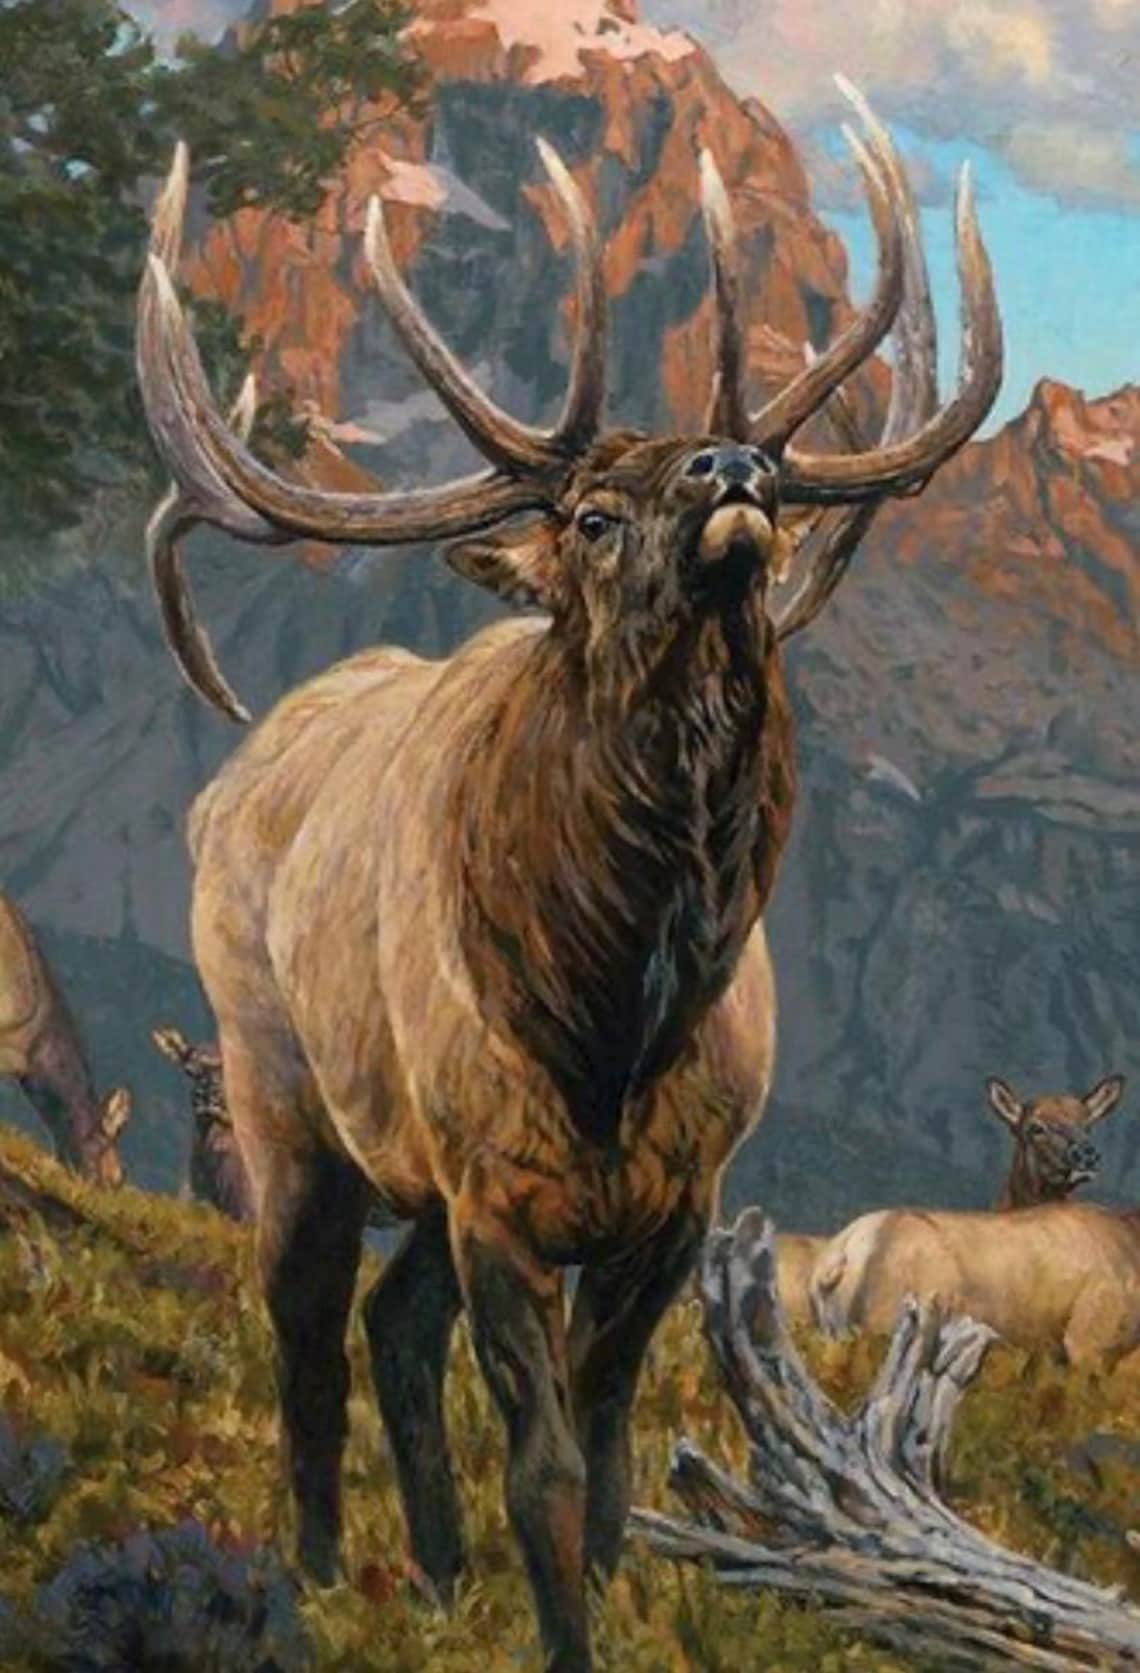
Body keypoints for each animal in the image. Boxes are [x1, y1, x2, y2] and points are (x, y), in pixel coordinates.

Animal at [134, 74, 1001, 1671]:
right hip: (284, 1091)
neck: (613, 1019)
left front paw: (589, 1585)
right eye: (593, 512)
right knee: (302, 1321)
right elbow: (537, 1462)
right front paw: (559, 1628)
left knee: (389, 1324)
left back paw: (432, 1568)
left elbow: (603, 1453)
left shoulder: (674, 1201)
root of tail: (227, 779)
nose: (738, 466)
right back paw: (315, 1568)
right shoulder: (495, 1197)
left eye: (744, 476)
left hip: (414, 1172)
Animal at [810, 1076, 1139, 1367]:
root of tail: (840, 1258)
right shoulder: (1089, 1339)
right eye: (1036, 1127)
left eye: (1088, 1125)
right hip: (887, 1323)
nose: (1086, 1155)